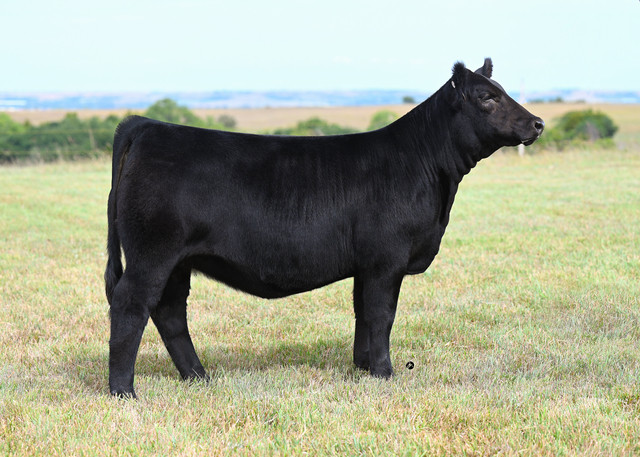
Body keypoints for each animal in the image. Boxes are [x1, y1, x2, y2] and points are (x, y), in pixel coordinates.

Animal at [105, 58, 544, 397]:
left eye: (502, 89)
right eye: (487, 97)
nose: (538, 123)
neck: (429, 171)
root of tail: (146, 125)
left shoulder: (366, 265)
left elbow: (363, 313)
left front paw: (364, 369)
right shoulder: (386, 259)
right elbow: (382, 314)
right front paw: (385, 374)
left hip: (178, 261)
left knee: (169, 311)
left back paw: (199, 378)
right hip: (153, 252)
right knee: (131, 304)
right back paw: (123, 391)